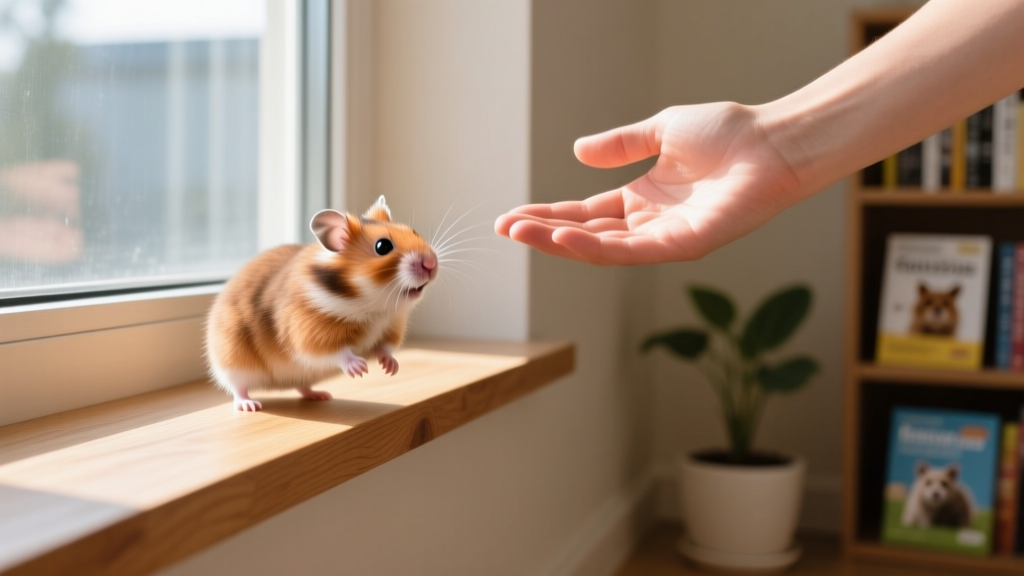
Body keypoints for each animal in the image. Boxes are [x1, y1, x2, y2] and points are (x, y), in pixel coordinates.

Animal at [206, 196, 438, 411]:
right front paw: (359, 369)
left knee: (301, 386)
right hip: (233, 362)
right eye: (383, 246)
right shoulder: (308, 332)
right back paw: (250, 405)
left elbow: (385, 348)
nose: (432, 263)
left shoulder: (391, 326)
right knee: (238, 388)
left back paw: (320, 395)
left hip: (301, 376)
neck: (372, 306)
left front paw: (391, 368)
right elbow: (336, 352)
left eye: (414, 232)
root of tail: (279, 385)